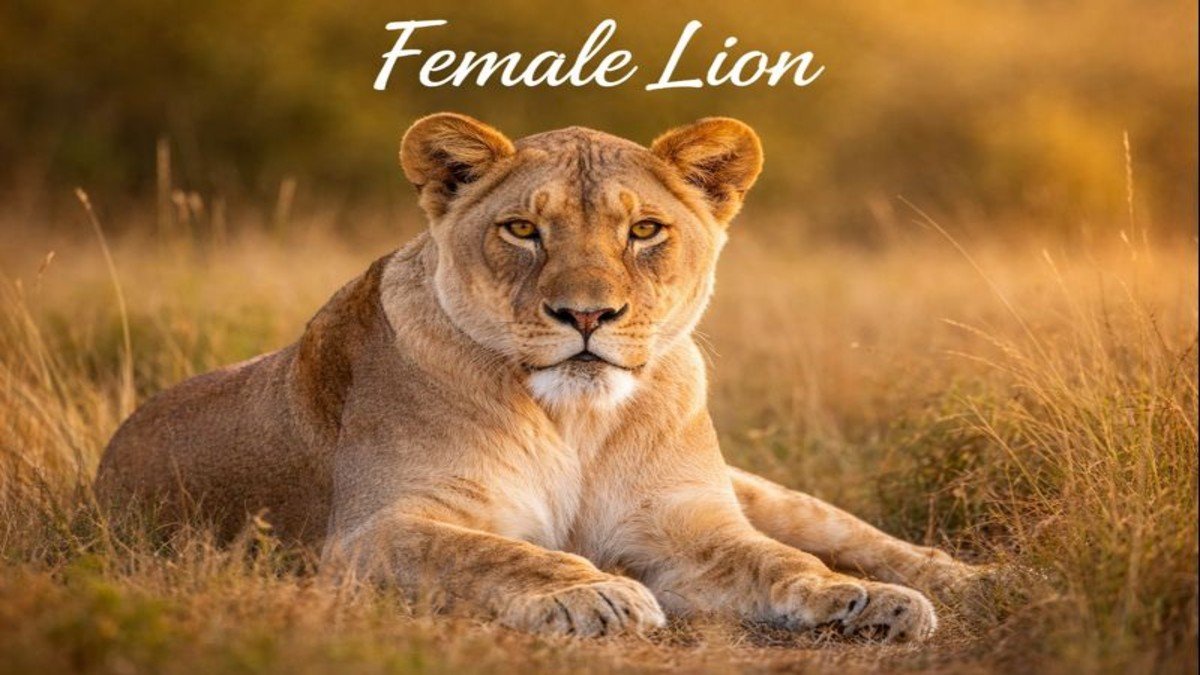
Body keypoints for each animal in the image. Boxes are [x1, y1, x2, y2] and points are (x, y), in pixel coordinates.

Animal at [96, 113, 984, 642]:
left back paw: (959, 579)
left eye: (645, 229)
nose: (586, 314)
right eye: (522, 229)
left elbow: (785, 562)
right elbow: (502, 555)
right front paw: (598, 594)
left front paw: (858, 599)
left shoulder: (688, 525)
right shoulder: (370, 534)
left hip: (756, 487)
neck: (576, 421)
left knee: (850, 533)